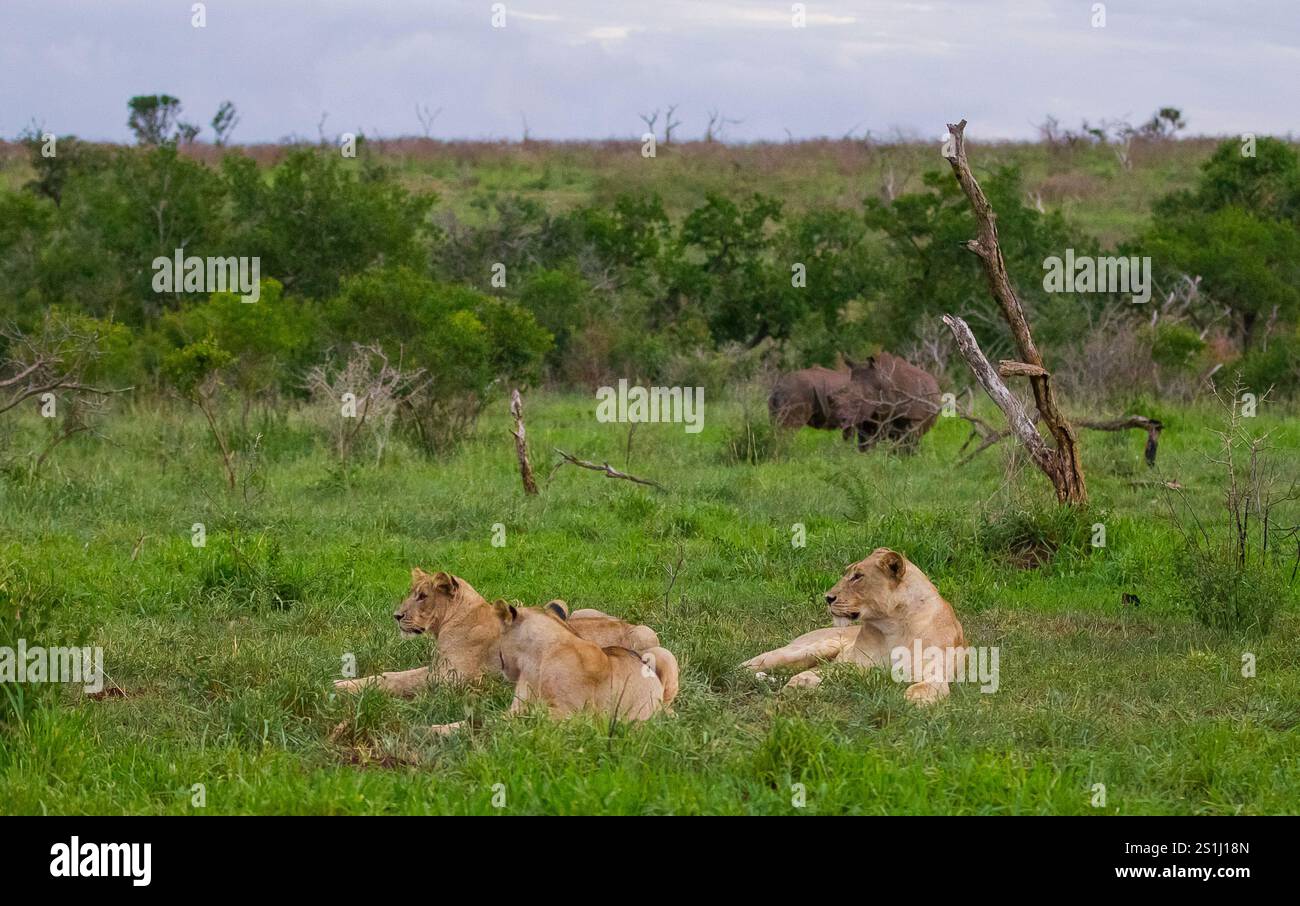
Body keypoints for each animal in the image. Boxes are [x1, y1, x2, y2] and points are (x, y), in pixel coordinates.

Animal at [334, 568, 662, 696]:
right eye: (412, 593)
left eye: (423, 596)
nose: (396, 616)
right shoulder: (438, 668)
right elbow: (392, 675)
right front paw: (342, 683)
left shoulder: (452, 679)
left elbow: (400, 683)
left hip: (647, 637)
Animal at [741, 548, 965, 704]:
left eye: (858, 576)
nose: (828, 598)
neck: (893, 625)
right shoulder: (853, 665)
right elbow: (826, 672)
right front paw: (800, 684)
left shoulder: (934, 675)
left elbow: (919, 689)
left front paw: (910, 703)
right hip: (809, 649)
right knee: (745, 666)